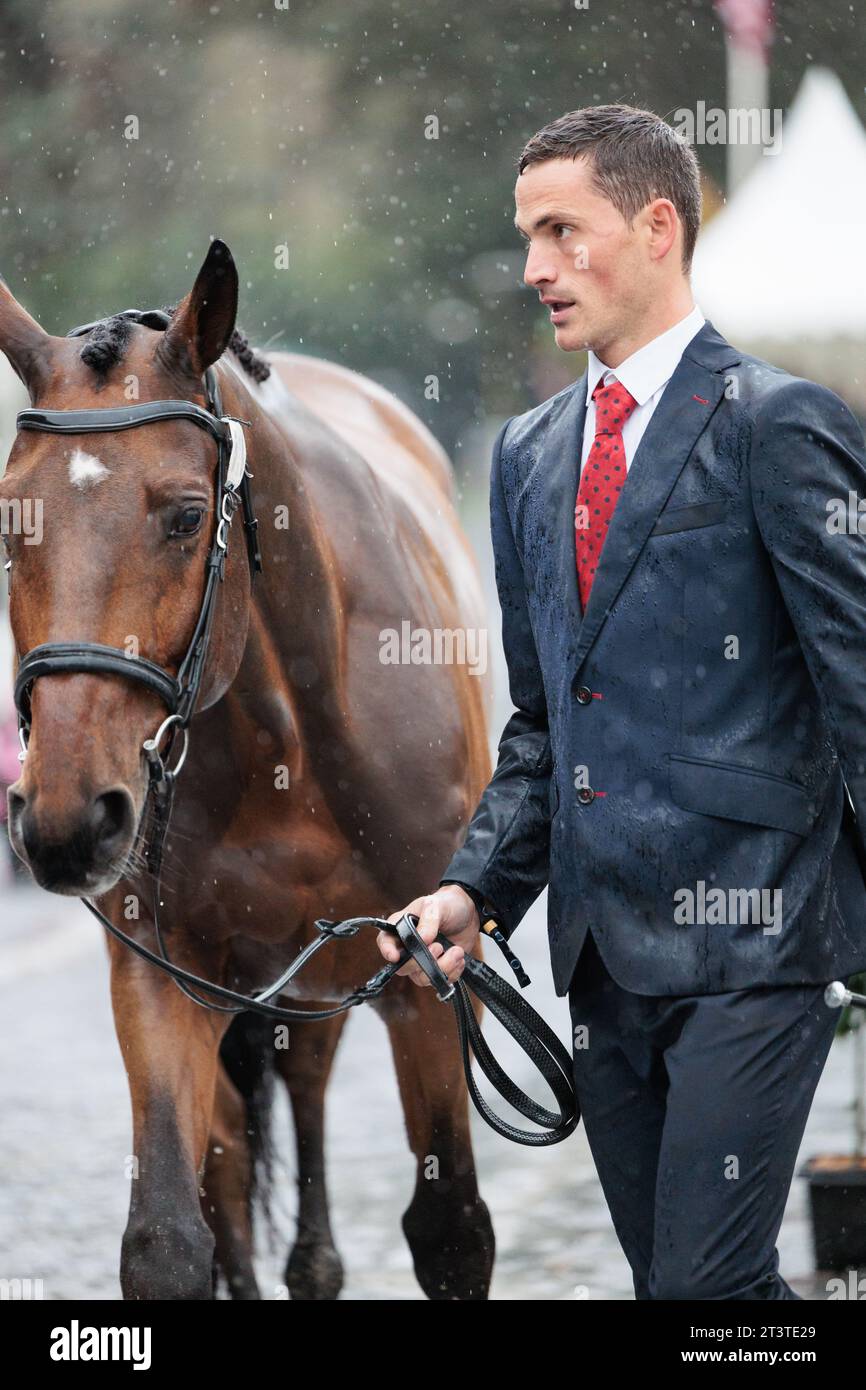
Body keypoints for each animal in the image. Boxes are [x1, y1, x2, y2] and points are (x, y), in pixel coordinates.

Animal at [0, 239, 496, 1300]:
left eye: (188, 519)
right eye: (12, 527)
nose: (65, 819)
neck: (285, 741)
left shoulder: (424, 970)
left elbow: (450, 1230)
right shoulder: (162, 976)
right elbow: (166, 1240)